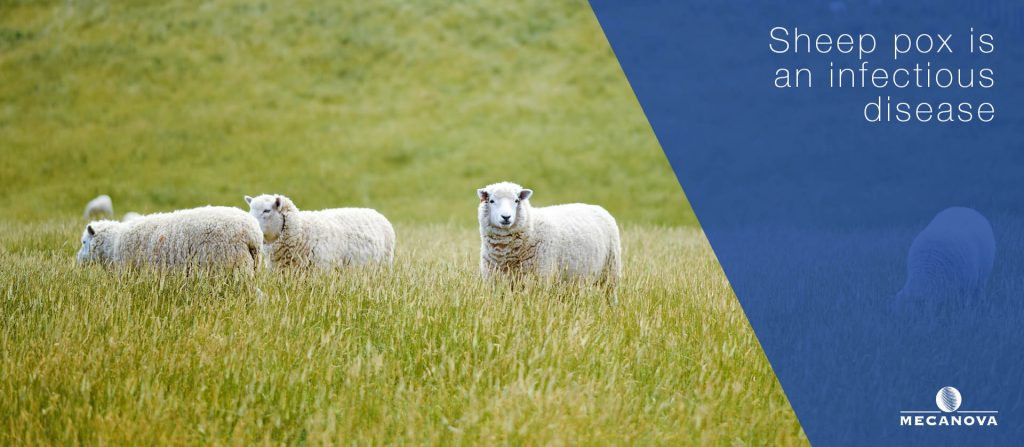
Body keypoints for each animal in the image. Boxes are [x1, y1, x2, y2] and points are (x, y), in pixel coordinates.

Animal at [476, 181, 621, 300]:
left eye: (516, 200)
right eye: (491, 201)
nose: (506, 217)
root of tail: (598, 207)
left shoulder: (539, 279)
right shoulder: (495, 281)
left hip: (610, 272)